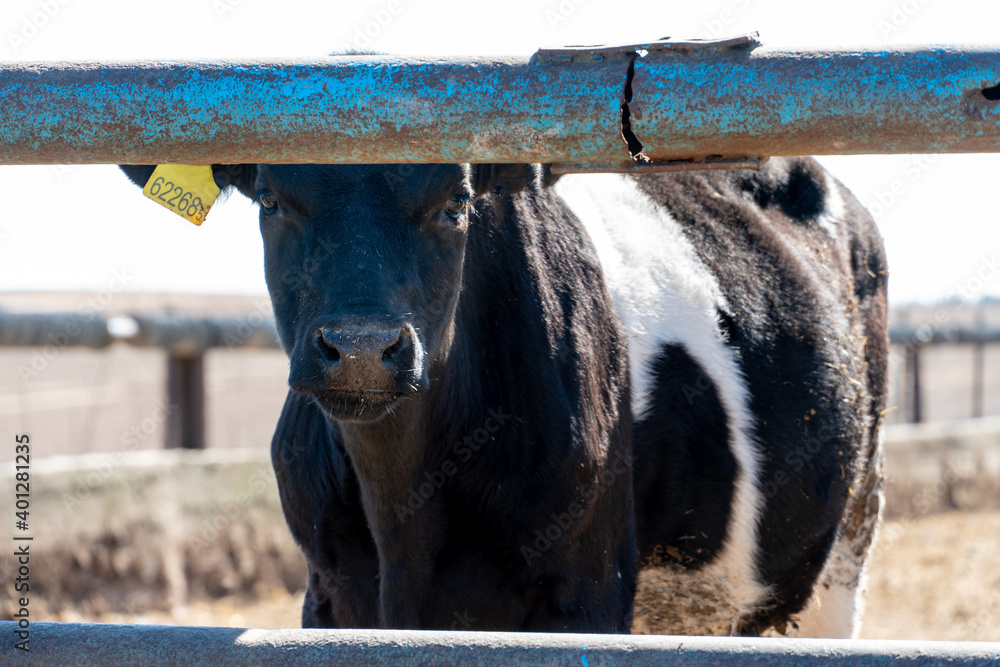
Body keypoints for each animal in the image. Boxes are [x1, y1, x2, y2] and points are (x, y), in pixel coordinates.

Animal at [120, 156, 887, 637]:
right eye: (271, 200)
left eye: (456, 203)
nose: (362, 347)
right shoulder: (330, 590)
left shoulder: (588, 587)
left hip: (846, 546)